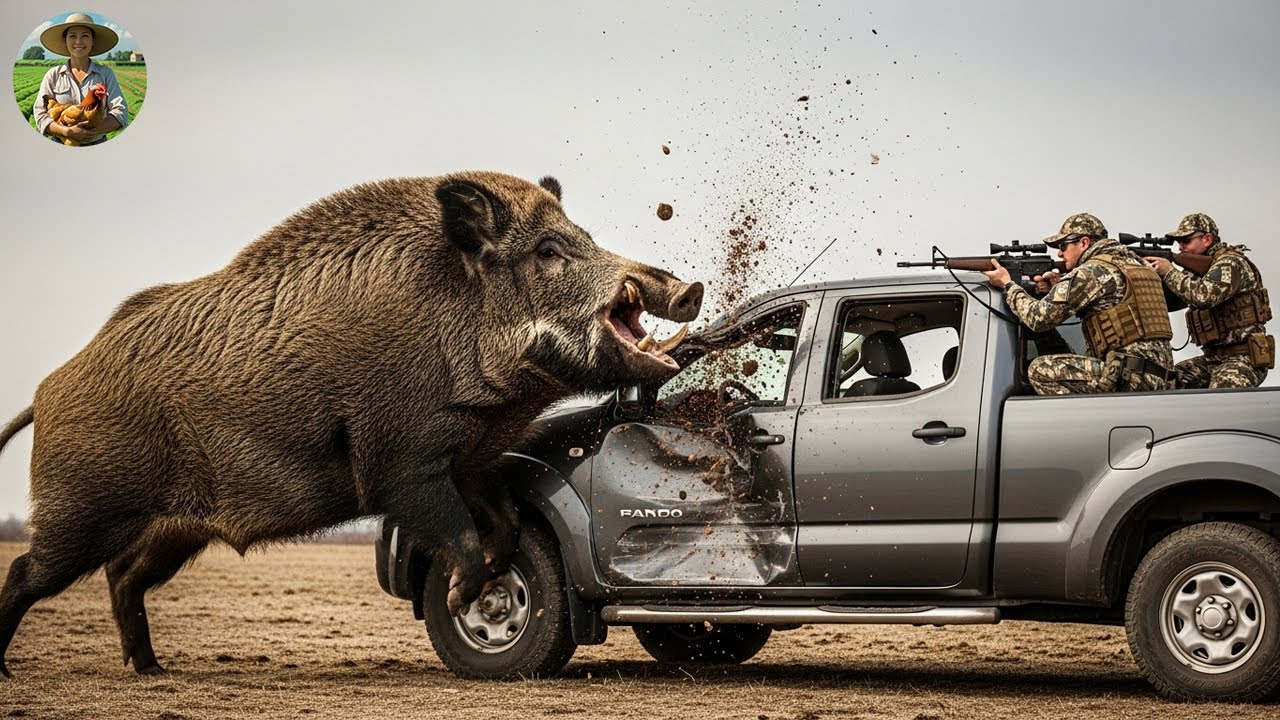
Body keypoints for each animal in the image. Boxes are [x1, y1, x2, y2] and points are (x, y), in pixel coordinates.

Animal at [0, 171, 702, 676]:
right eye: (549, 251)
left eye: (583, 236)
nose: (688, 287)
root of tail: (48, 390)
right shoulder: (402, 467)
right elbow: (460, 534)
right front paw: (462, 599)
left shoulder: (471, 460)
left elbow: (499, 521)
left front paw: (489, 570)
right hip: (80, 508)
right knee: (27, 573)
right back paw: (18, 672)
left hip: (175, 529)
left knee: (123, 575)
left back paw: (151, 671)